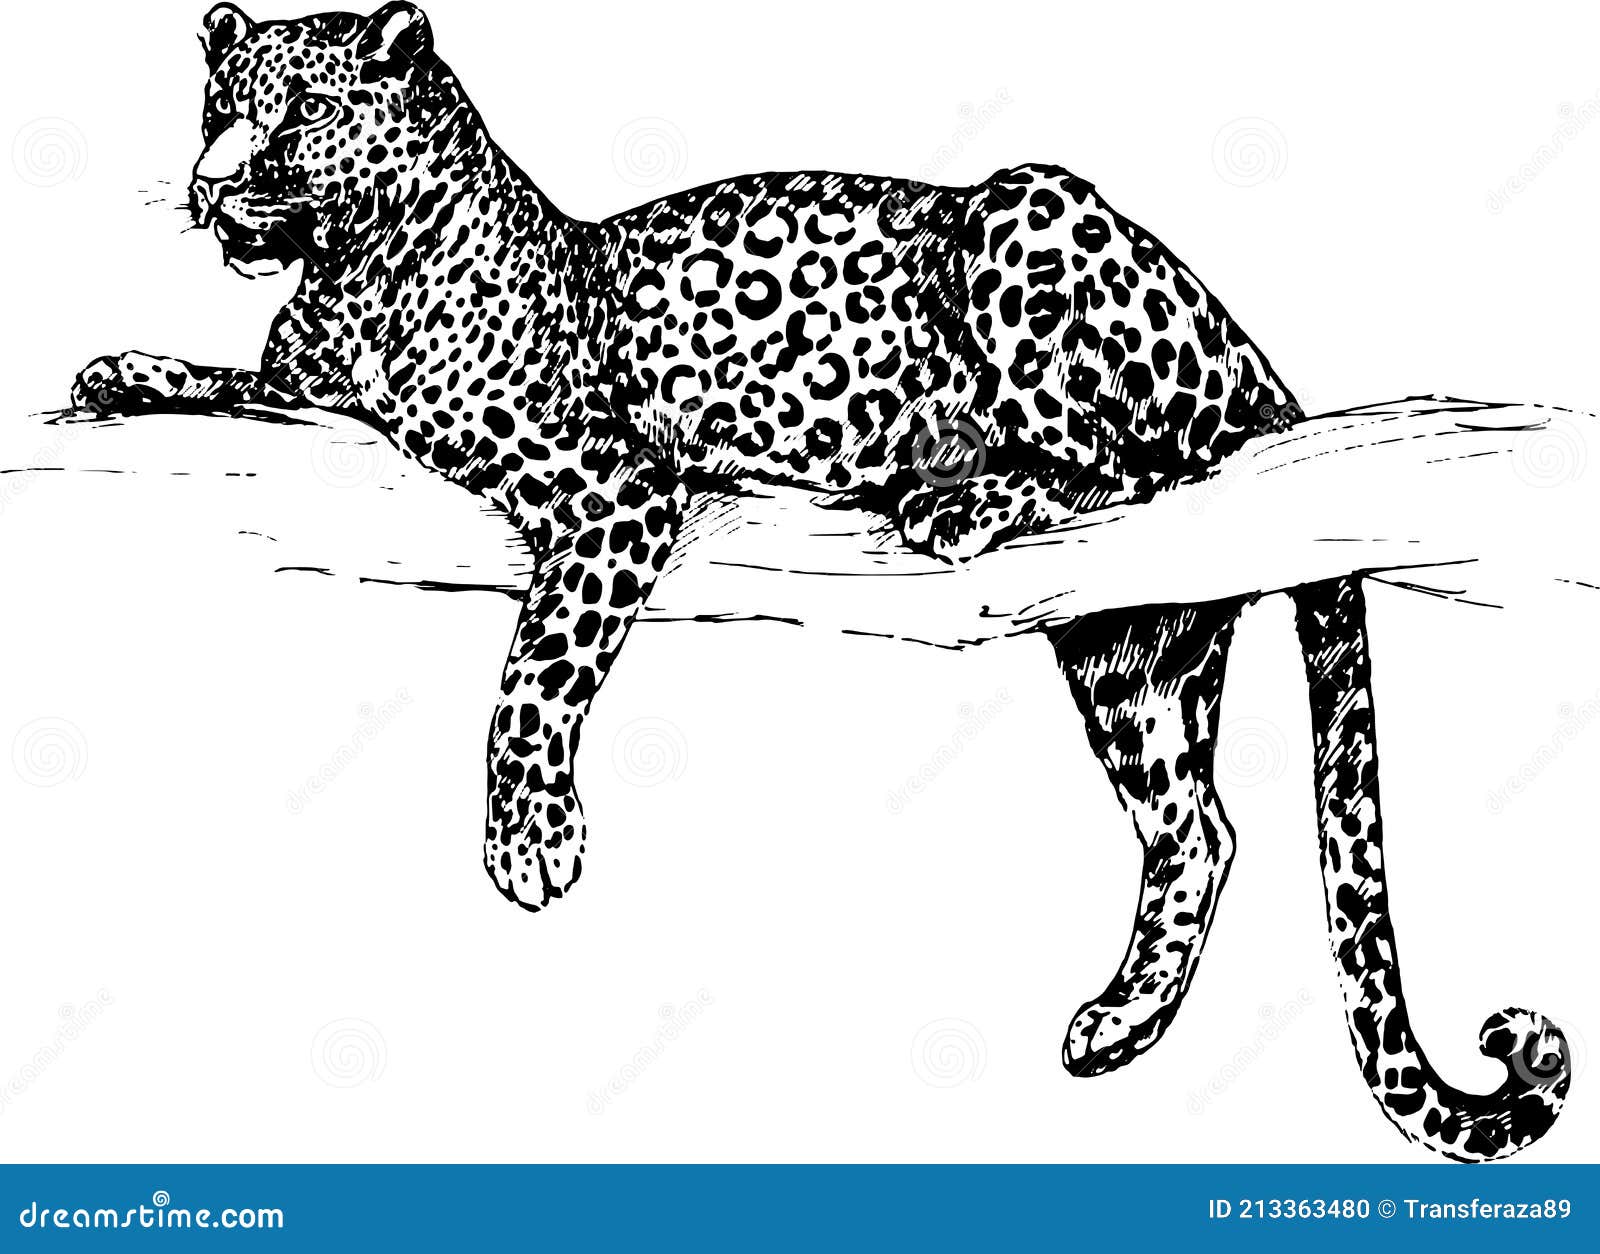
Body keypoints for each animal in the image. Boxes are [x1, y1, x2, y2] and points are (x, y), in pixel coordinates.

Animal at [71, 2, 1570, 1161]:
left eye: (299, 112)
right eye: (215, 107)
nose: (211, 187)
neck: (357, 279)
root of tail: (1257, 356)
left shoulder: (610, 490)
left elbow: (535, 674)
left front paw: (530, 838)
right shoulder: (304, 396)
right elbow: (230, 382)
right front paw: (124, 373)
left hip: (1033, 226)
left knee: (1132, 462)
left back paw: (955, 491)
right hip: (1129, 646)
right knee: (1196, 822)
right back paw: (1122, 1022)